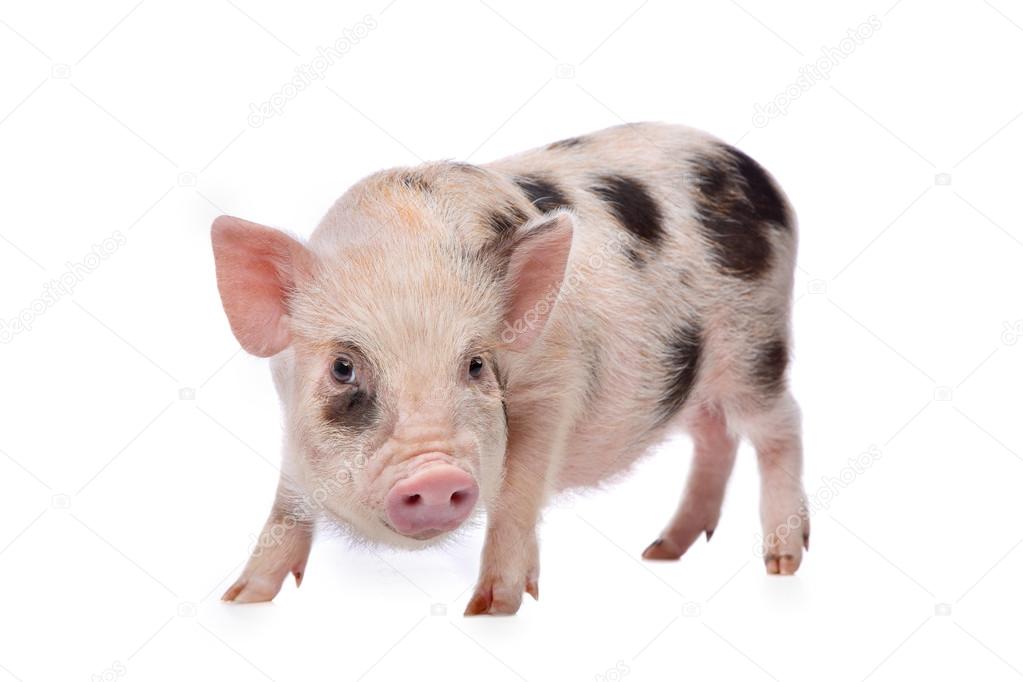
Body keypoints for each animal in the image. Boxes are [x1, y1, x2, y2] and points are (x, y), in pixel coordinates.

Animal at [211, 122, 808, 615]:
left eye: (476, 364)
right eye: (342, 367)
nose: (435, 476)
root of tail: (756, 174)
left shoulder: (552, 384)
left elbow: (519, 491)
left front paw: (493, 608)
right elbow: (287, 504)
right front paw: (240, 598)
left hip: (755, 341)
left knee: (781, 424)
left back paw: (782, 562)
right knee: (714, 434)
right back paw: (663, 551)